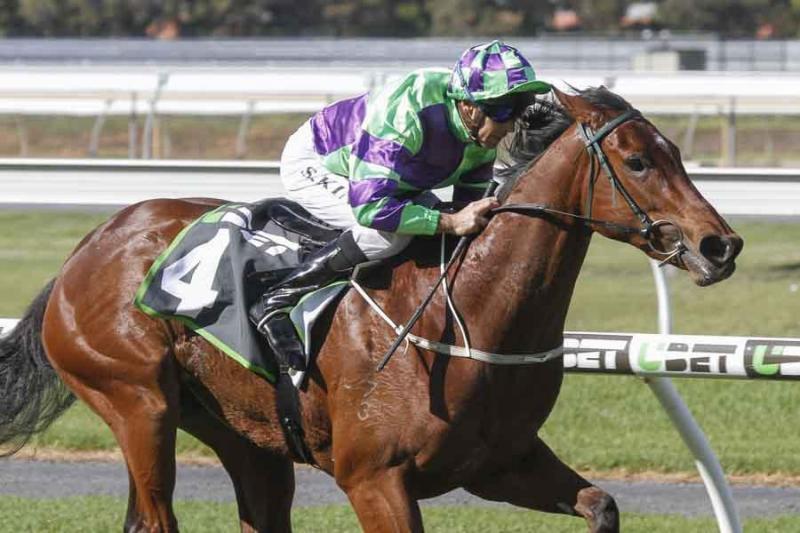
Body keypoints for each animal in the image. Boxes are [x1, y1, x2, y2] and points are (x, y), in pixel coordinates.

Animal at [0, 87, 742, 532]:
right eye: (638, 161)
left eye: (676, 151)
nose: (721, 244)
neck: (468, 317)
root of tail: (88, 248)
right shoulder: (375, 480)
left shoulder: (502, 464)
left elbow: (602, 504)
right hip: (138, 403)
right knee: (155, 513)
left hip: (245, 435)